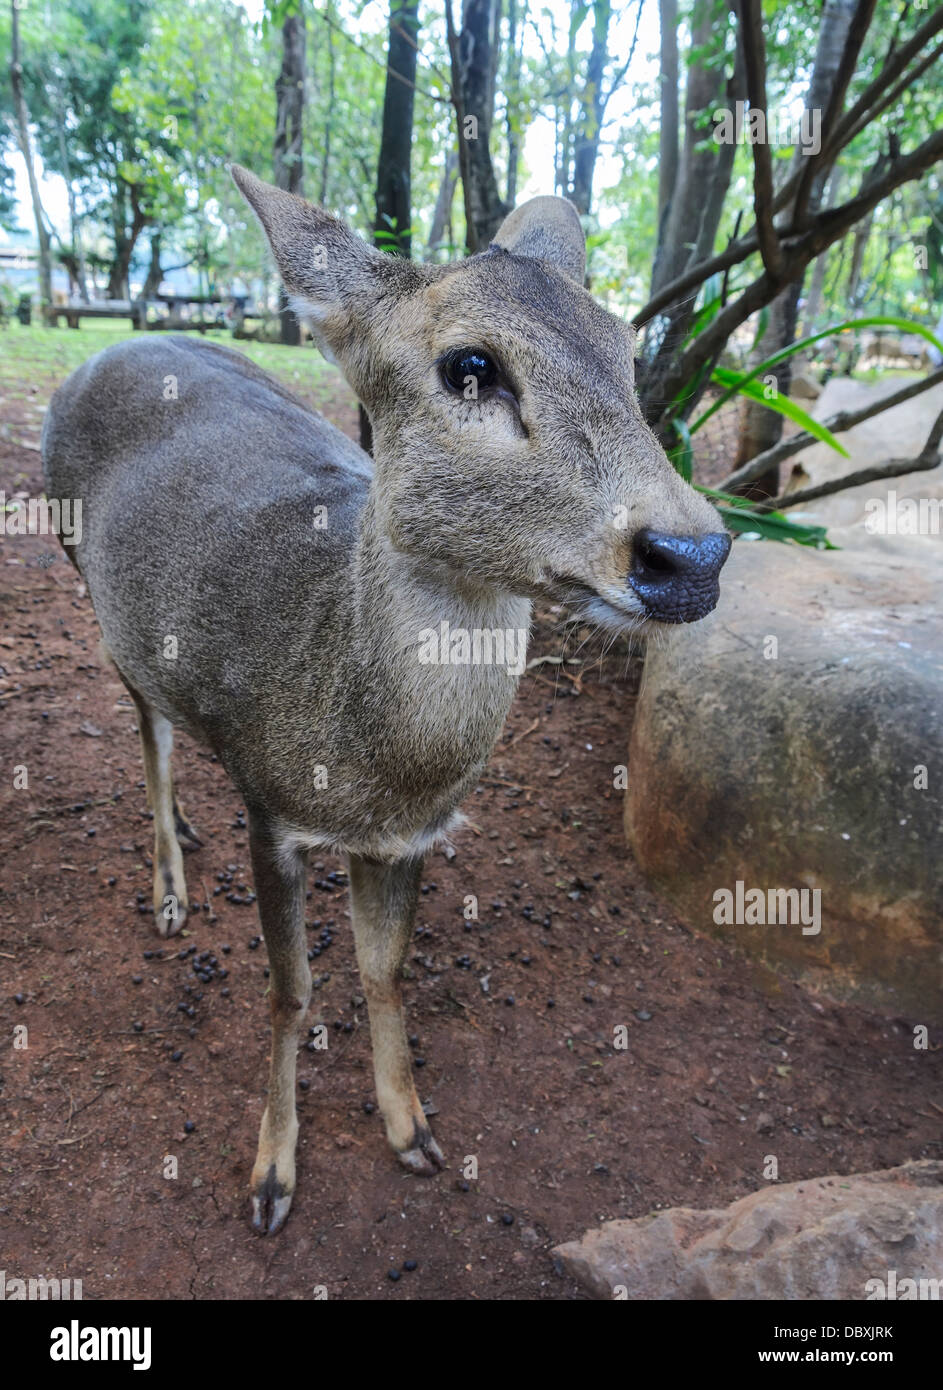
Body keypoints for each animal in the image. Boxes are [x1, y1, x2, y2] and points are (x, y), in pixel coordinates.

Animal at [42, 165, 731, 1234]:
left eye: (625, 353)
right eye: (471, 368)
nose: (690, 555)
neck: (365, 763)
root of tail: (107, 348)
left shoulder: (407, 840)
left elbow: (384, 968)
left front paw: (410, 1129)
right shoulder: (272, 811)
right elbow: (289, 991)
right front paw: (271, 1176)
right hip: (90, 584)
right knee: (148, 731)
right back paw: (169, 890)